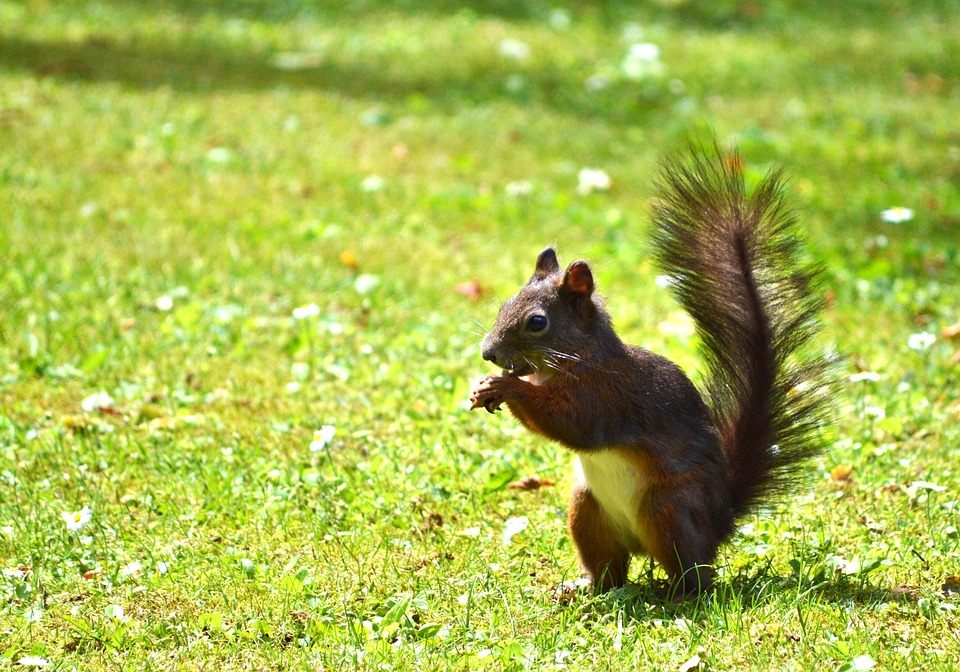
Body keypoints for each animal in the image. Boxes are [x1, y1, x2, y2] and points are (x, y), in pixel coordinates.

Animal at [470, 144, 833, 595]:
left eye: (537, 322)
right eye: (504, 305)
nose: (488, 353)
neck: (582, 356)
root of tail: (721, 521)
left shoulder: (606, 395)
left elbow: (572, 424)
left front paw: (506, 387)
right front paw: (484, 387)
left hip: (669, 509)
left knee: (695, 573)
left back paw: (678, 594)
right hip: (586, 511)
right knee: (610, 570)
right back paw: (584, 587)